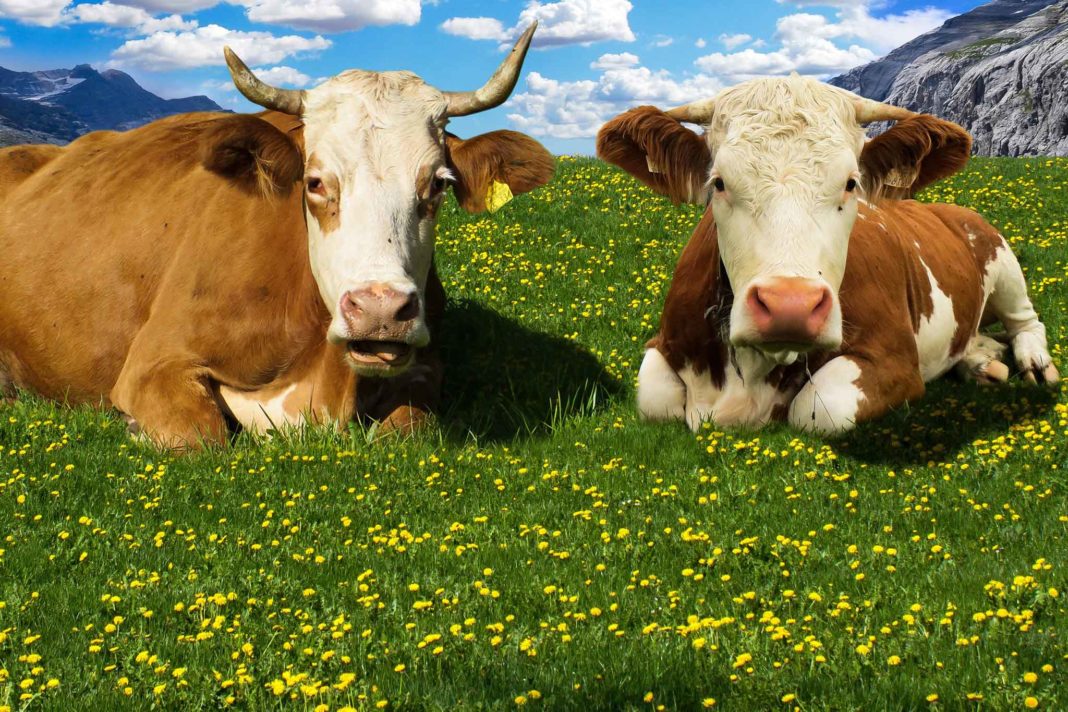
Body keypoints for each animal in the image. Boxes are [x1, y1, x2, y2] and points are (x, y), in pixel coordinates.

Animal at [0, 24, 554, 449]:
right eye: (315, 181)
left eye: (438, 183)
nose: (380, 310)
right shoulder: (154, 360)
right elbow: (199, 438)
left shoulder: (425, 361)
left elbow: (410, 428)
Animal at [596, 75, 1059, 435]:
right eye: (719, 183)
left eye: (851, 183)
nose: (790, 305)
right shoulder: (663, 347)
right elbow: (654, 397)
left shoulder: (895, 363)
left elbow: (820, 407)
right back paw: (981, 361)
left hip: (1001, 259)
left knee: (1025, 322)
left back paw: (1035, 363)